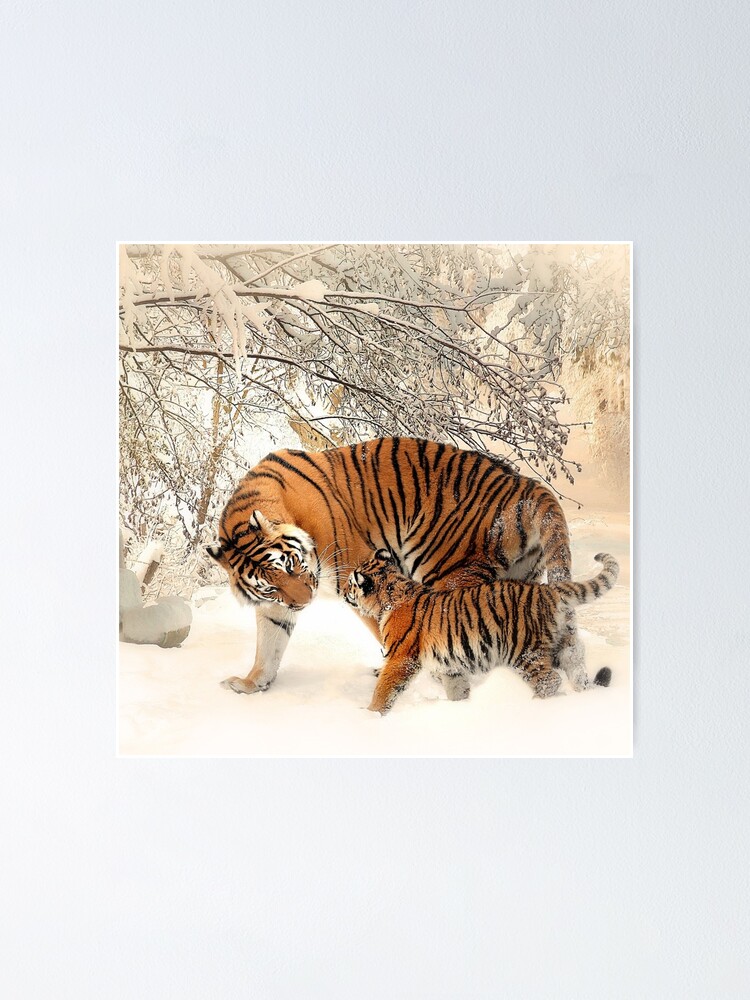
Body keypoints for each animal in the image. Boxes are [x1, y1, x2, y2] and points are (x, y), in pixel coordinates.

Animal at [207, 437, 589, 696]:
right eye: (269, 586)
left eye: (290, 565)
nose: (304, 602)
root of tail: (526, 484)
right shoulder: (276, 606)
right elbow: (269, 645)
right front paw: (251, 684)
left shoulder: (356, 573)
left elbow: (390, 630)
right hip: (520, 580)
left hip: (449, 572)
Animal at [344, 549, 619, 714]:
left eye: (350, 584)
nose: (344, 592)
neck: (391, 593)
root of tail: (548, 590)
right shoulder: (450, 665)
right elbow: (457, 689)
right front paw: (461, 708)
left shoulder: (401, 659)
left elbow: (384, 689)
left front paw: (370, 716)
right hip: (566, 645)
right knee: (577, 670)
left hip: (524, 652)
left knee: (549, 680)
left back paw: (535, 707)